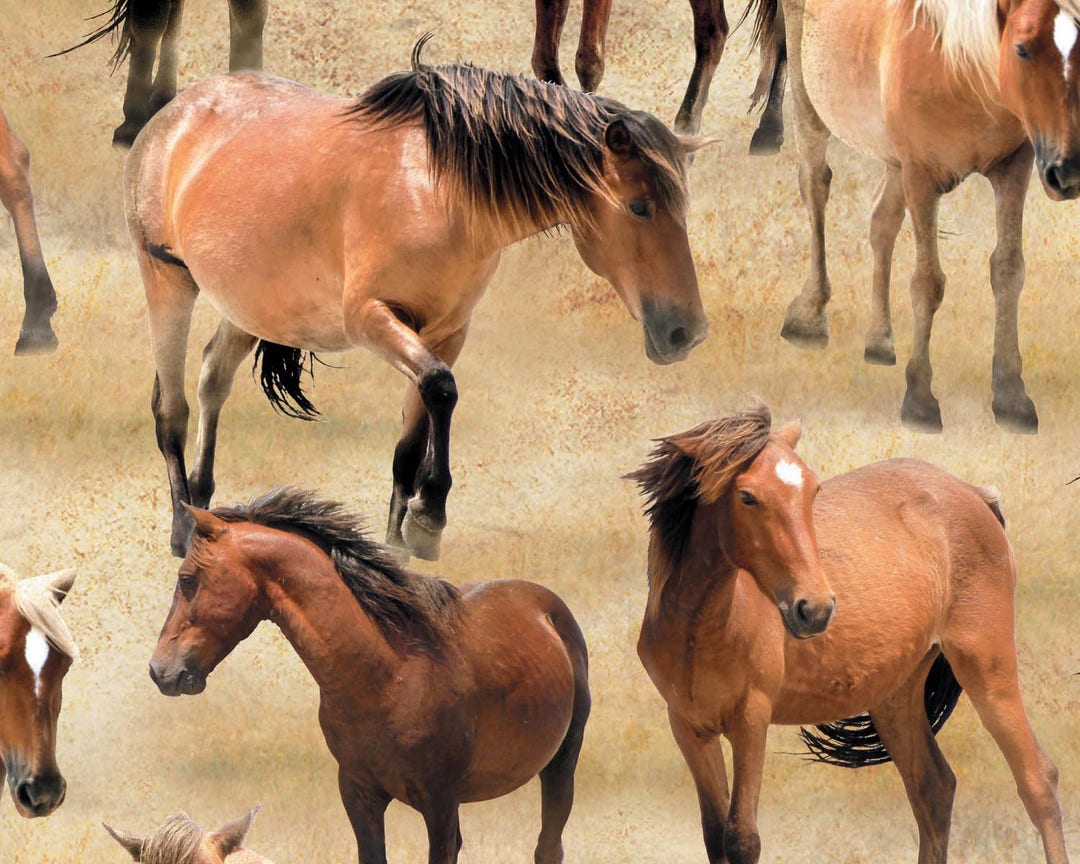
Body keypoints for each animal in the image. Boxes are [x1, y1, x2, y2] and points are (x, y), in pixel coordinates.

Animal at [125, 42, 710, 560]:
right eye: (639, 207)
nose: (688, 332)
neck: (438, 191)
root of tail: (173, 114)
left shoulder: (444, 331)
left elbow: (412, 438)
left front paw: (397, 543)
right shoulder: (372, 319)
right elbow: (441, 389)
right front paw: (428, 517)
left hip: (251, 306)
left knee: (211, 378)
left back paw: (204, 505)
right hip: (168, 283)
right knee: (170, 408)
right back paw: (183, 529)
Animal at [148, 487, 591, 864]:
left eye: (187, 579)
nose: (159, 671)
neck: (389, 674)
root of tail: (547, 606)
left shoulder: (441, 805)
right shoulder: (359, 796)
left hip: (561, 767)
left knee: (549, 847)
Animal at [630, 403, 1068, 864]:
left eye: (813, 491)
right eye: (746, 497)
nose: (815, 609)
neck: (700, 630)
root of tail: (975, 494)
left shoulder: (751, 720)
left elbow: (742, 839)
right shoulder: (690, 729)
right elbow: (716, 837)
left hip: (988, 669)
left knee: (1038, 781)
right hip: (896, 695)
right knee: (933, 789)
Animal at [778, 0, 1080, 433]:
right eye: (1022, 49)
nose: (1067, 171)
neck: (962, 71)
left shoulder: (1013, 167)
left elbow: (1008, 270)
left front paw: (1011, 395)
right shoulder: (921, 177)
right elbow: (927, 283)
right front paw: (919, 398)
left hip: (892, 156)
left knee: (882, 222)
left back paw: (879, 339)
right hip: (810, 92)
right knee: (815, 182)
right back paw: (810, 314)